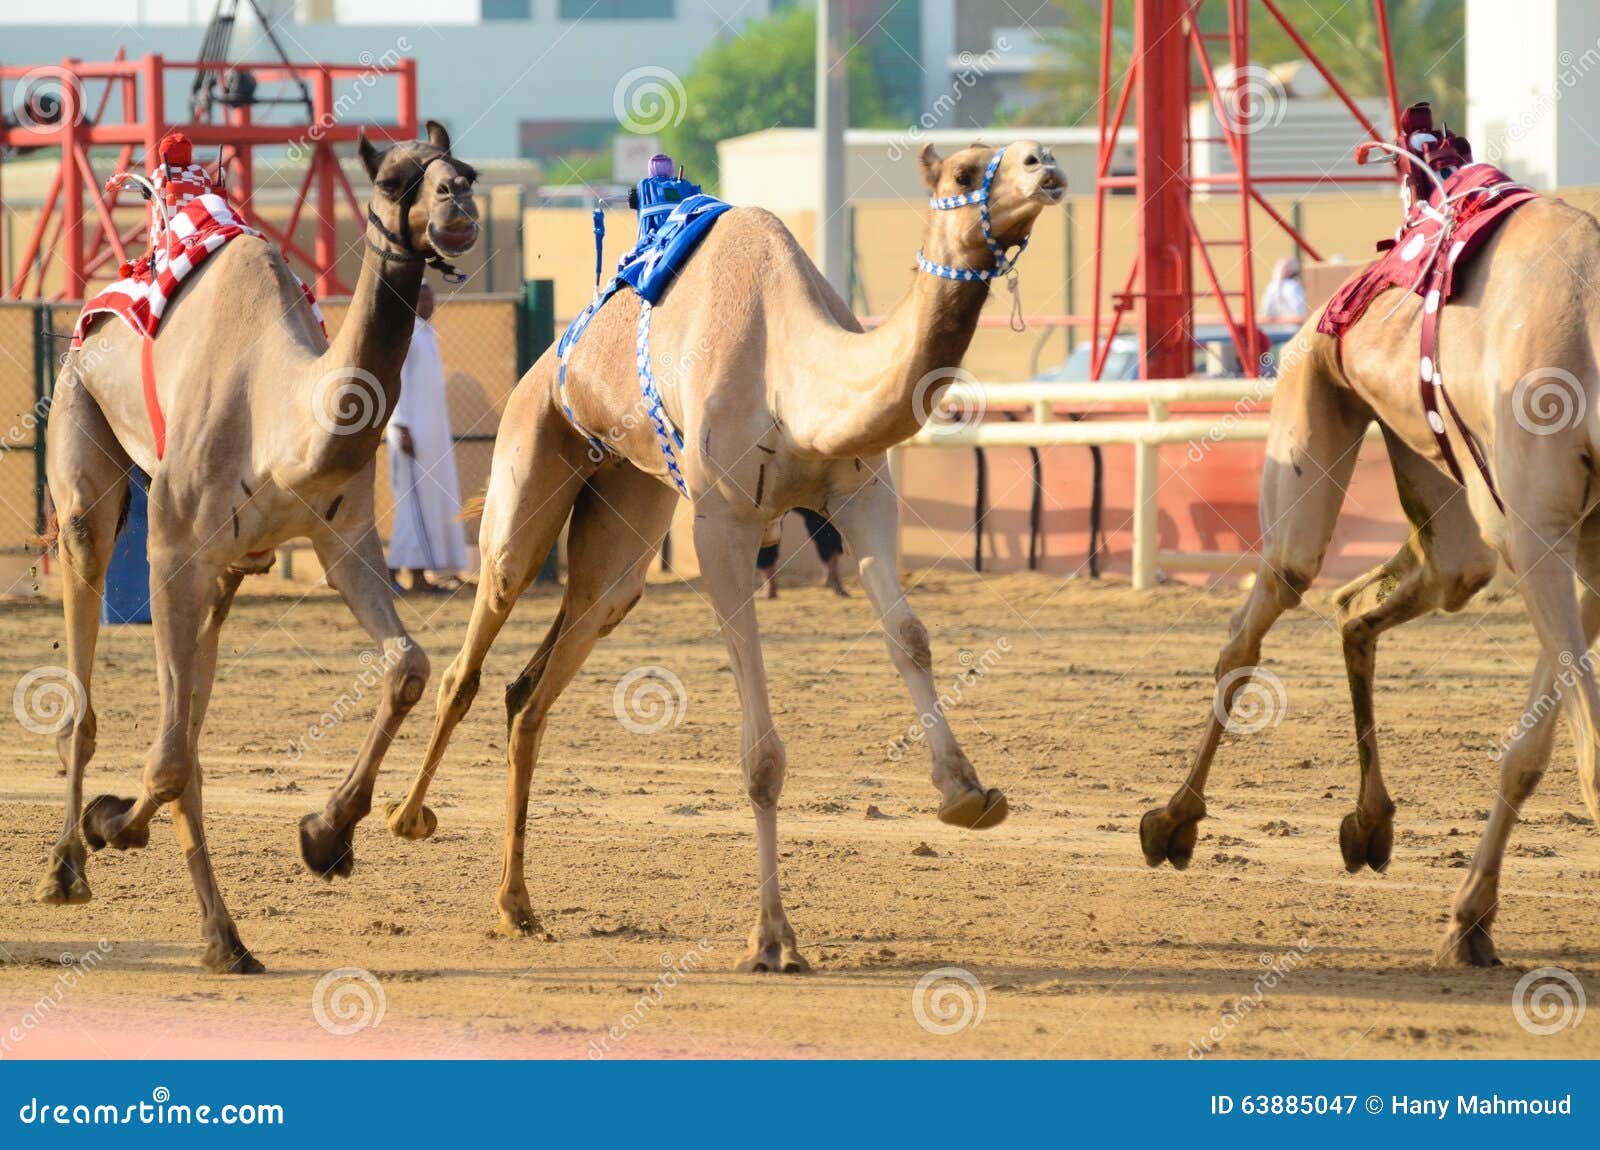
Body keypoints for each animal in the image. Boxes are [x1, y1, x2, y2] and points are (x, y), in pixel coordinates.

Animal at [35, 122, 480, 973]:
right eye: (393, 180)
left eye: (463, 169)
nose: (459, 206)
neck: (284, 417)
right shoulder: (173, 548)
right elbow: (170, 755)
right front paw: (116, 830)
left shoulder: (343, 538)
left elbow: (406, 665)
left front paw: (325, 836)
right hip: (81, 428)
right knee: (92, 652)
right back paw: (67, 865)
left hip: (229, 571)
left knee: (188, 721)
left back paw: (204, 914)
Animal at [383, 141, 1064, 970]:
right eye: (966, 173)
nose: (1045, 166)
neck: (789, 366)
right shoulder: (722, 522)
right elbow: (761, 751)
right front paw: (772, 938)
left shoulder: (862, 492)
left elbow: (910, 635)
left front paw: (967, 793)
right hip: (531, 456)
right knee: (477, 643)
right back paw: (397, 821)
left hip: (627, 514)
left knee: (539, 678)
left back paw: (517, 905)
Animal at [1139, 188, 1600, 966]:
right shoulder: (1540, 529)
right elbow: (1587, 753)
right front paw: (1469, 923)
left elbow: (1531, 752)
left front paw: (1470, 921)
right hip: (1313, 394)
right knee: (1262, 610)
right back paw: (1174, 822)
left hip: (1432, 478)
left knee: (1367, 602)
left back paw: (1369, 823)